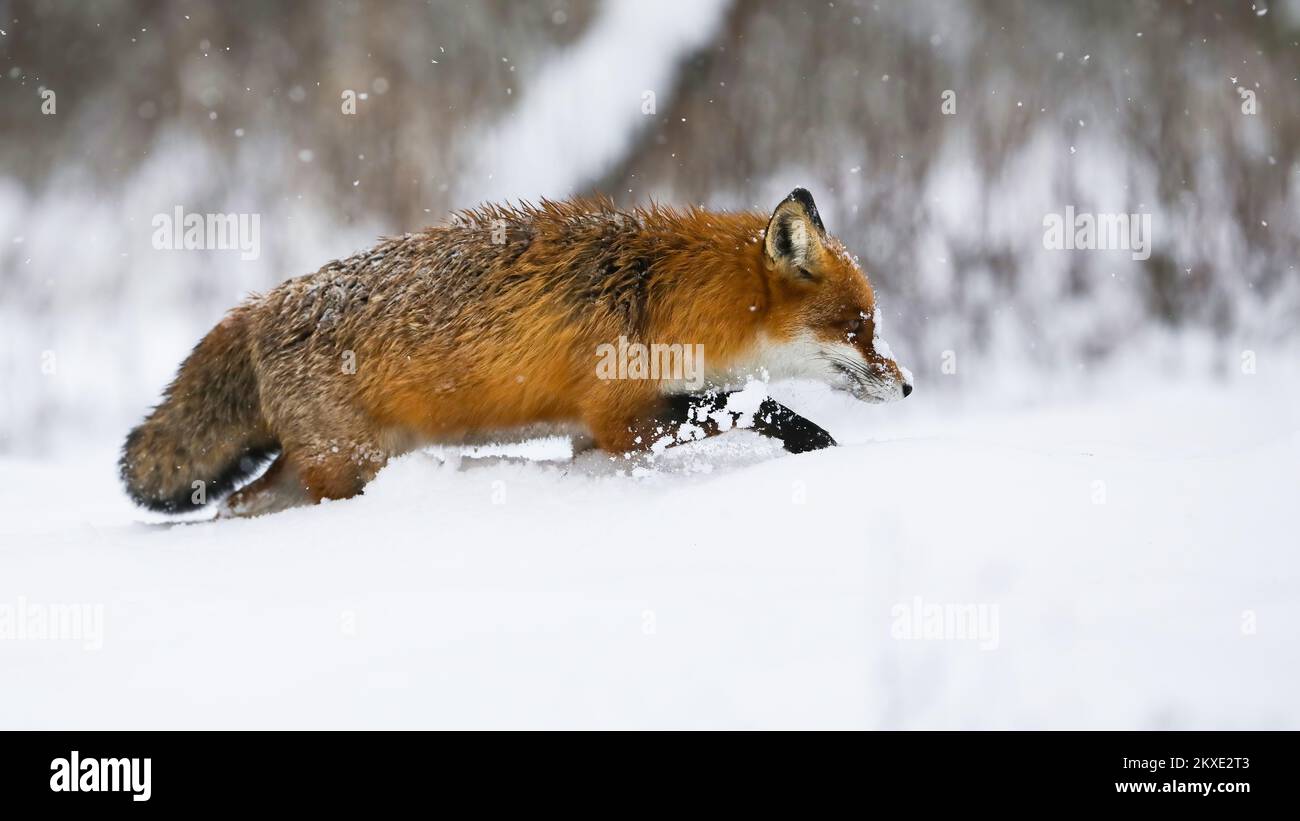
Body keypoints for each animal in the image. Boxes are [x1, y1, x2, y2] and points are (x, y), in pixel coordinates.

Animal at [120, 188, 912, 517]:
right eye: (859, 329)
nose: (906, 388)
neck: (659, 296)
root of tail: (260, 304)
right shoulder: (622, 421)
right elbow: (757, 406)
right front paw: (819, 445)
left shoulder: (590, 440)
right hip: (347, 467)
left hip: (325, 466)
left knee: (237, 505)